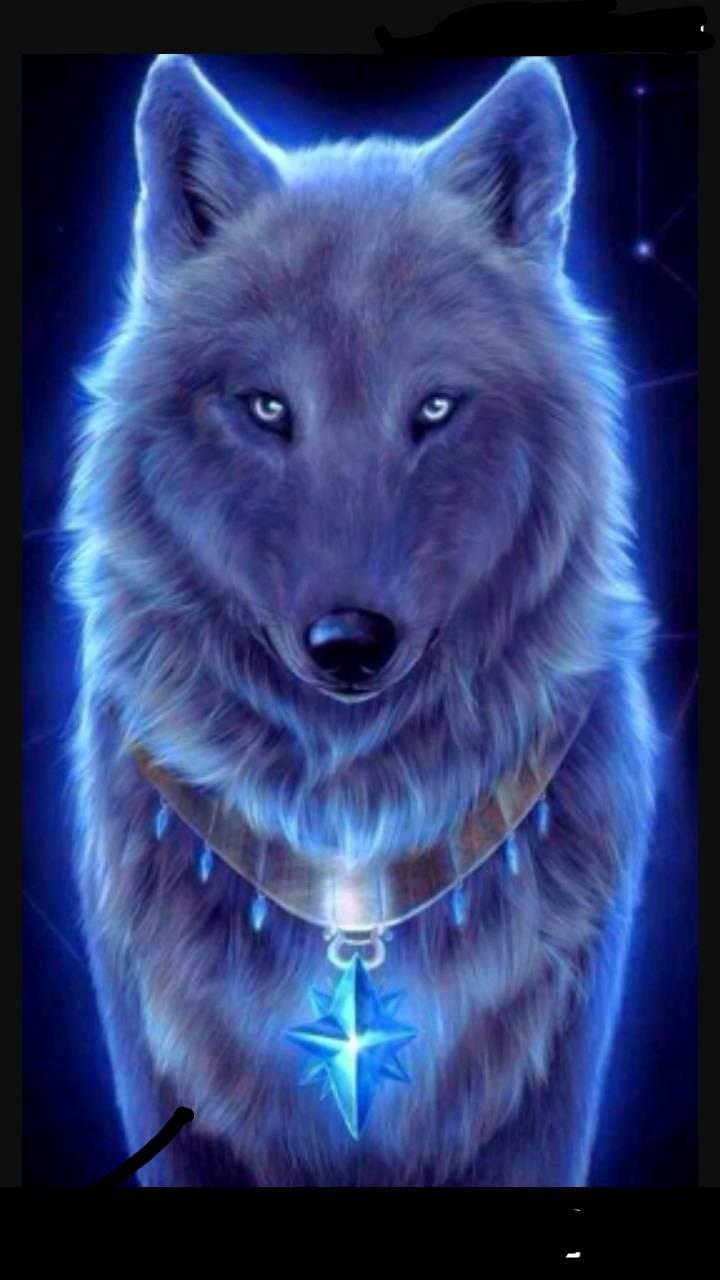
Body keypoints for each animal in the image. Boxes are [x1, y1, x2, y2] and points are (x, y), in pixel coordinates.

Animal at [64, 53, 658, 1187]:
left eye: (433, 409)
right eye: (266, 408)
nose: (349, 643)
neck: (352, 853)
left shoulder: (548, 1090)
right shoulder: (166, 1087)